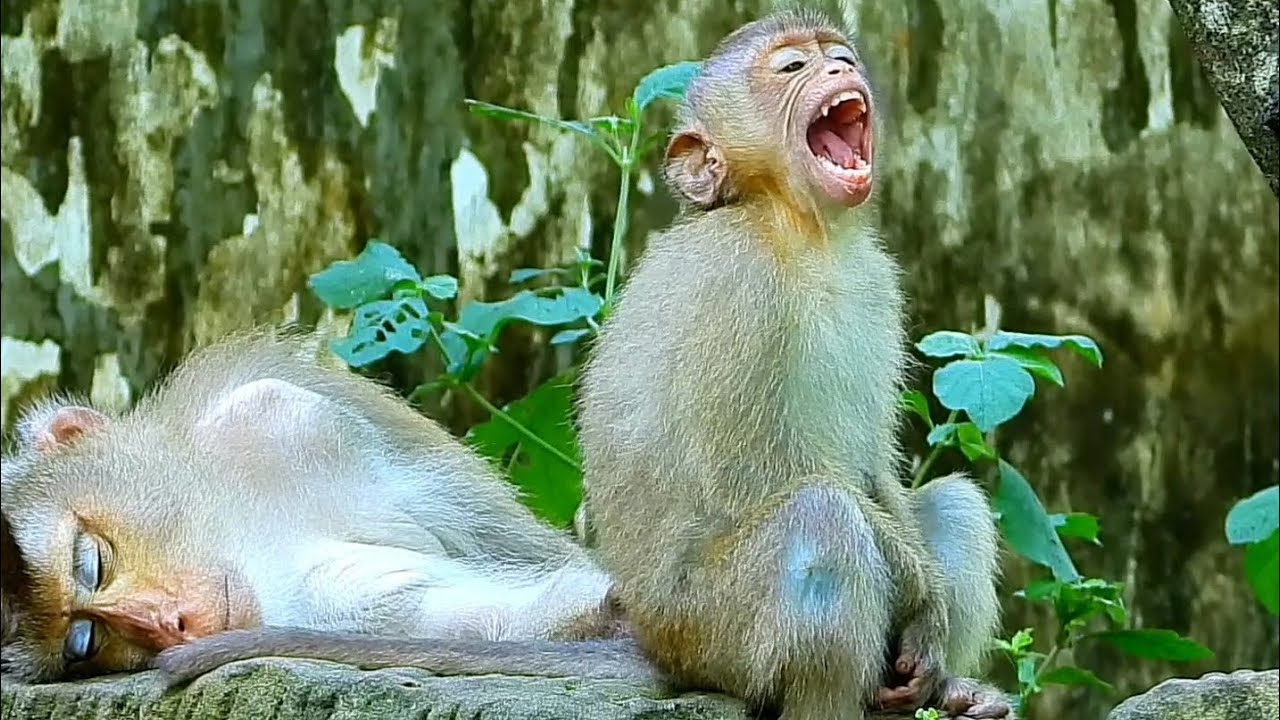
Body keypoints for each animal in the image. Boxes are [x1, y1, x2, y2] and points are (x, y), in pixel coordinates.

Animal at [575, 9, 1011, 720]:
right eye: (792, 68)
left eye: (839, 56)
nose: (839, 69)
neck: (799, 227)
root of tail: (648, 636)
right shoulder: (739, 284)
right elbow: (750, 474)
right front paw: (919, 590)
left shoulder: (877, 280)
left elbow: (874, 467)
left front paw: (930, 616)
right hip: (708, 635)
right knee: (822, 517)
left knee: (952, 503)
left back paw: (949, 690)